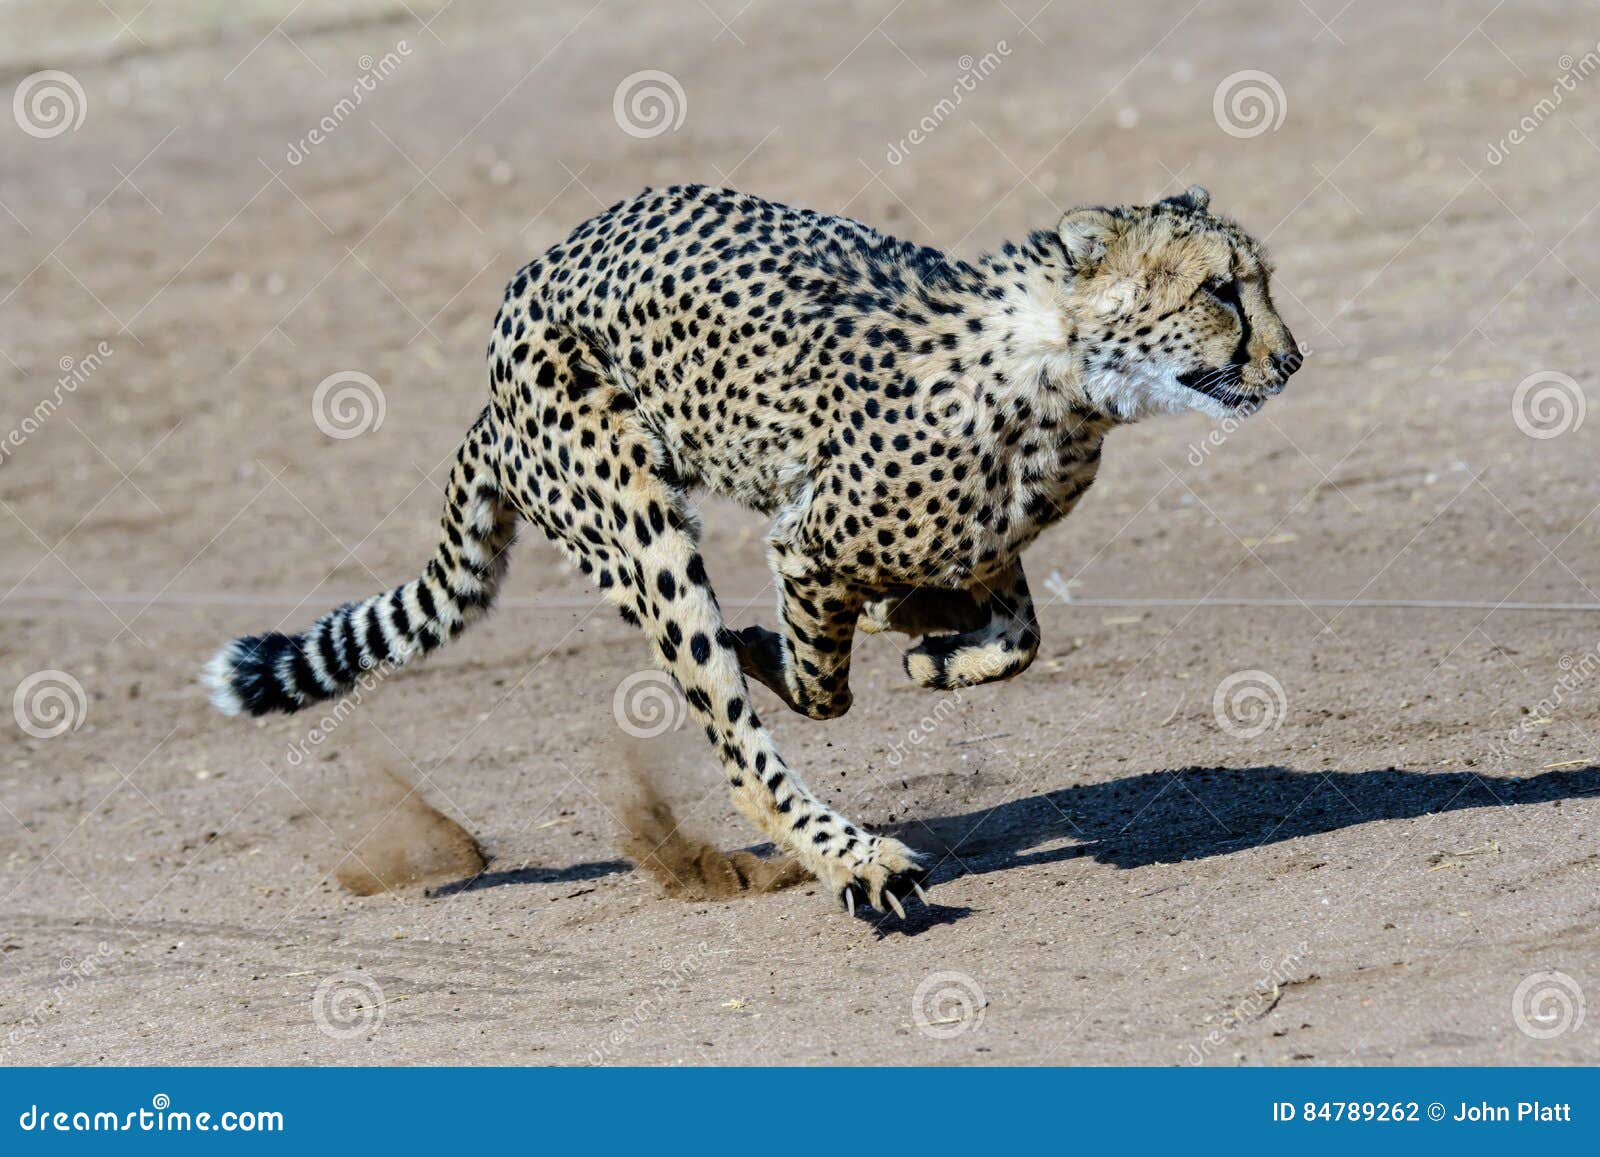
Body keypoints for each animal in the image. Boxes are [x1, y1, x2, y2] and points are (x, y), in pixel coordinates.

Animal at [203, 182, 1300, 921]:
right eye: (1219, 290)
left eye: (1262, 282)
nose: (1290, 360)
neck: (1062, 371)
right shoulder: (807, 543)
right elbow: (822, 683)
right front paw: (821, 645)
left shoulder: (975, 545)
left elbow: (1015, 635)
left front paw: (928, 642)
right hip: (640, 525)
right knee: (738, 748)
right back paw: (857, 860)